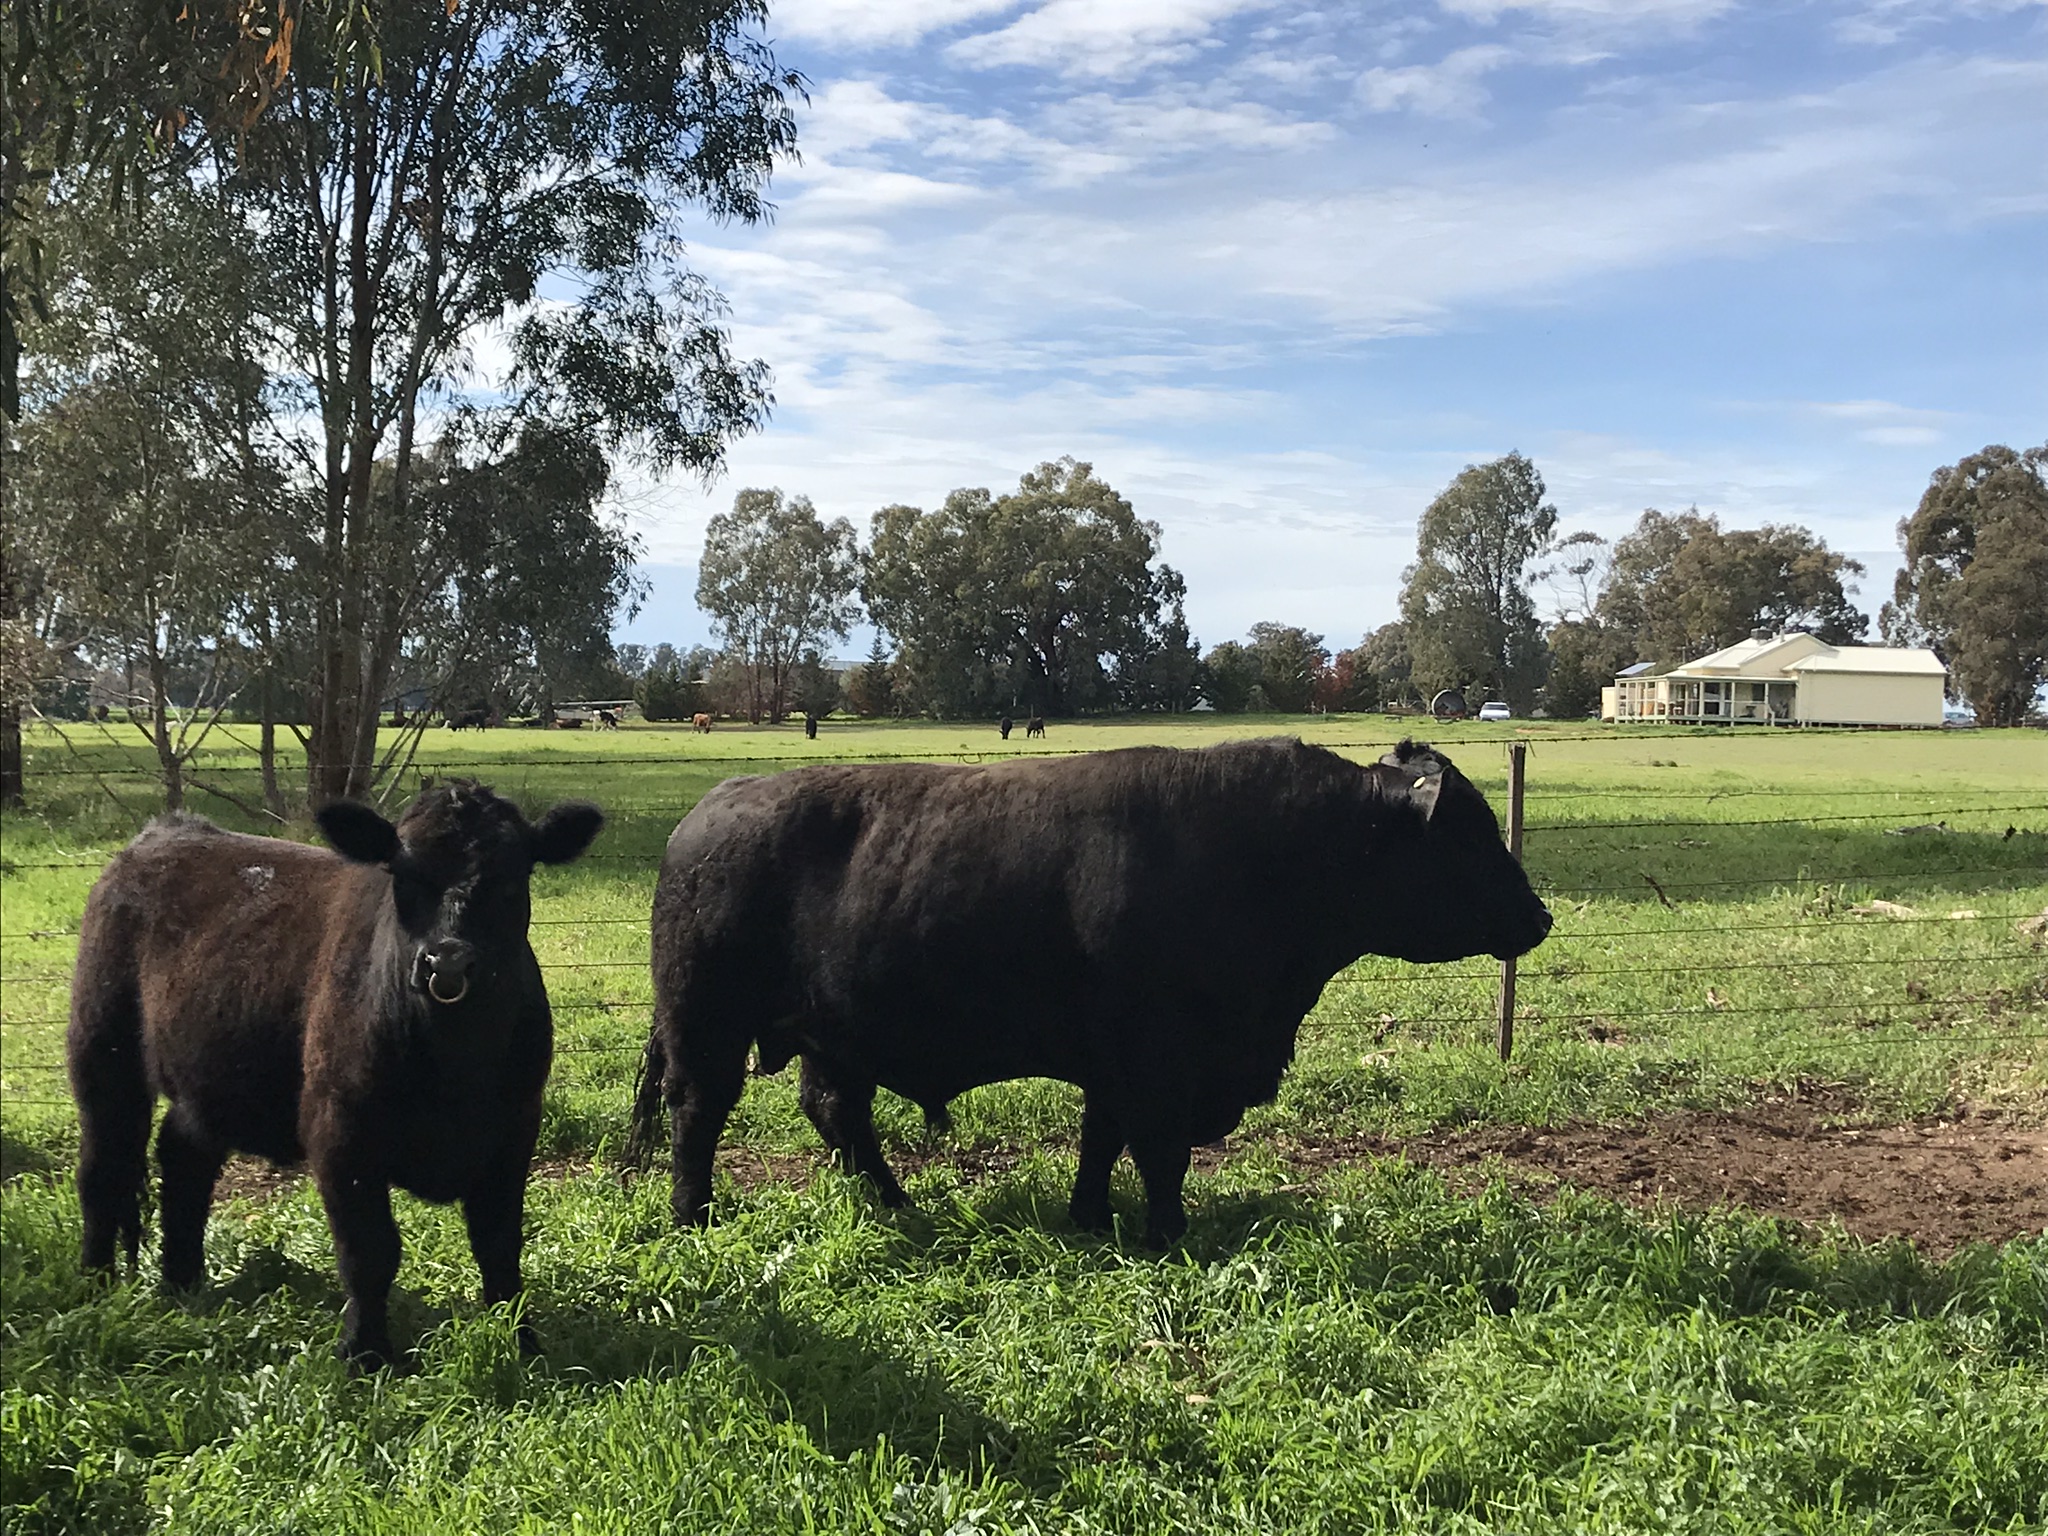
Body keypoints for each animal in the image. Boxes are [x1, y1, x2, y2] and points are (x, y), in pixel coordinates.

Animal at [66, 782, 604, 1366]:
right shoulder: (340, 1129)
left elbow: (500, 1247)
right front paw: (365, 1354)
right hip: (103, 1050)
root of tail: (168, 831)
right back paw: (94, 1288)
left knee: (184, 1156)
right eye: (402, 874)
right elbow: (370, 1249)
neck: (454, 1068)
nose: (448, 963)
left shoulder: (514, 1130)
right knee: (104, 1168)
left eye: (512, 879)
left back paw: (182, 1282)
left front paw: (523, 1343)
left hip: (206, 1080)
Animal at [631, 738, 1551, 1247]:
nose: (1540, 916)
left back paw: (897, 1205)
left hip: (835, 1034)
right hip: (706, 1025)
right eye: (1468, 832)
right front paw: (1168, 1234)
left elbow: (1102, 1141)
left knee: (837, 1114)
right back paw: (693, 1214)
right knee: (698, 1114)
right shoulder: (1158, 1061)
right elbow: (1159, 1152)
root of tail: (709, 810)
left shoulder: (1117, 1061)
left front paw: (1091, 1217)